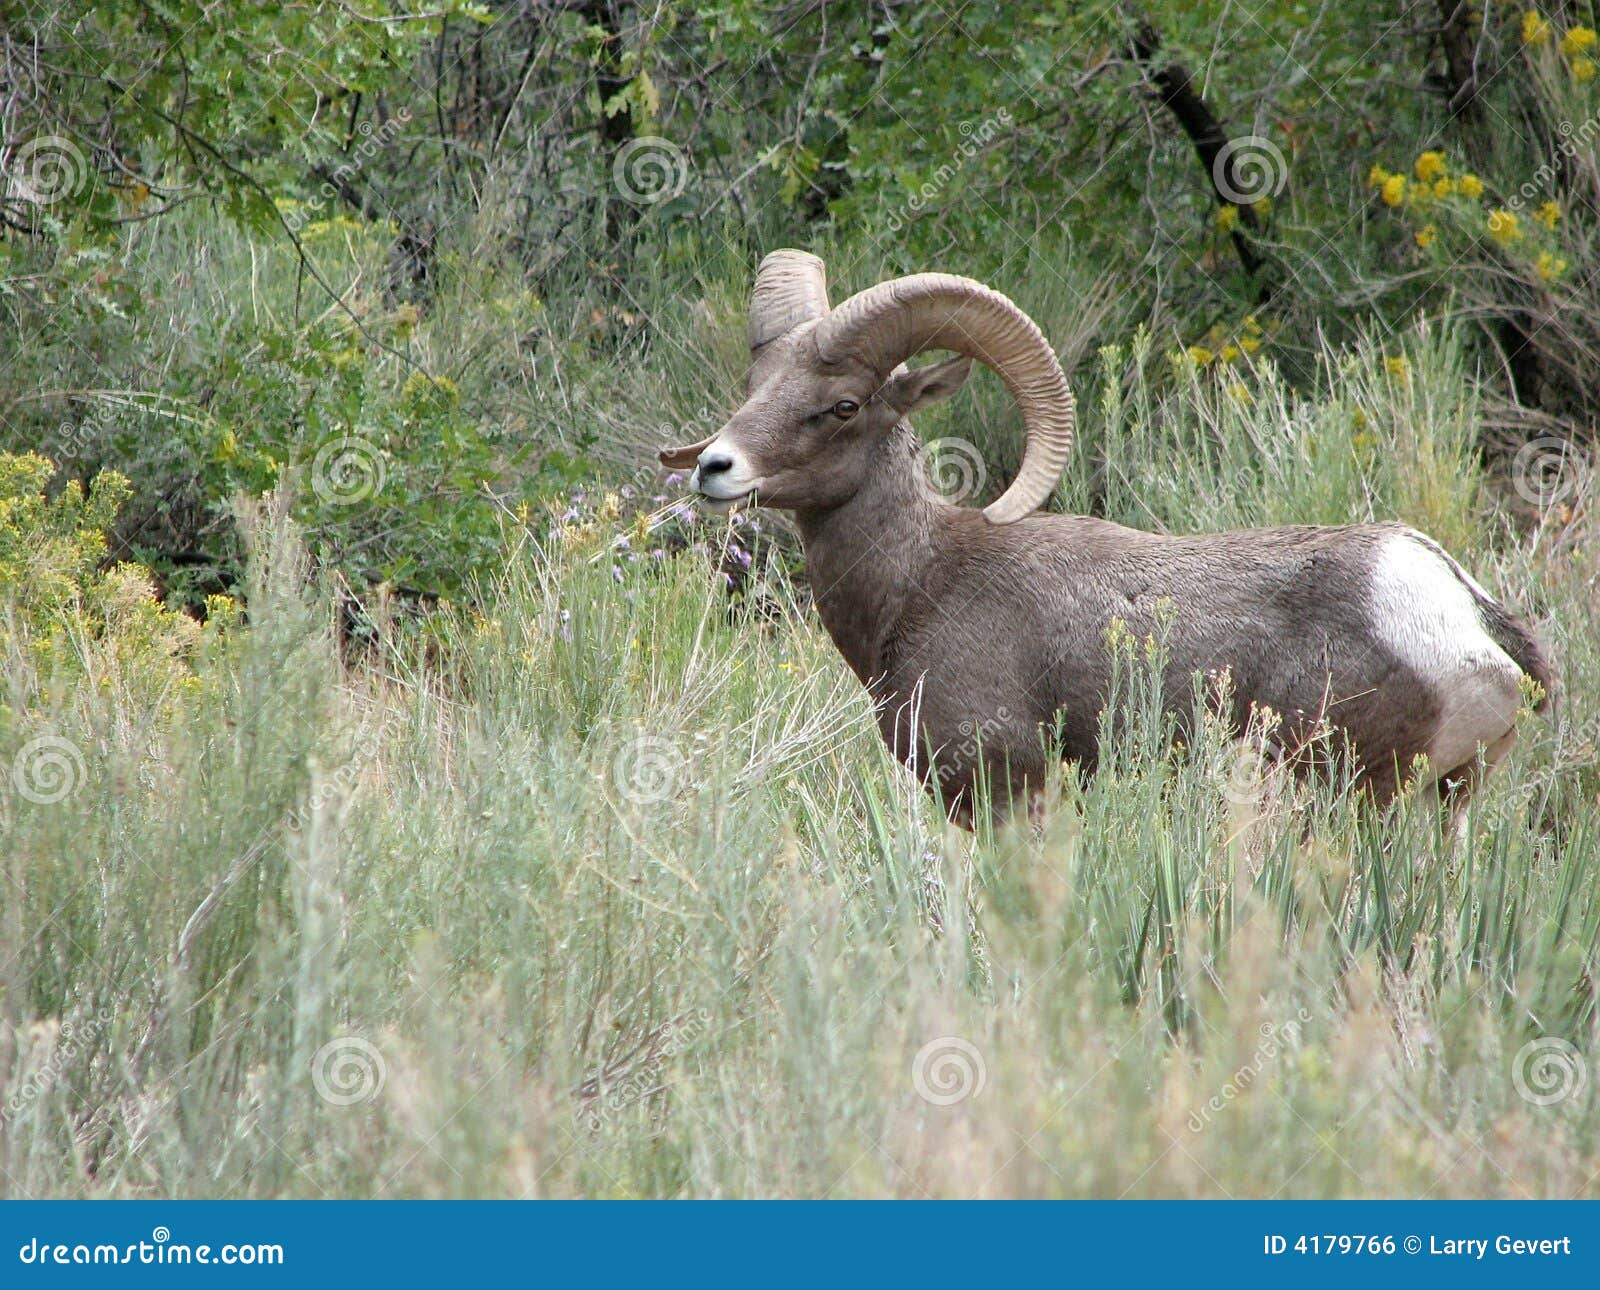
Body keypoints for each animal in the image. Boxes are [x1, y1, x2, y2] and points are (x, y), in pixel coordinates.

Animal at [660, 250, 1553, 826]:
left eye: (842, 405)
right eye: (756, 386)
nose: (714, 467)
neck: (921, 581)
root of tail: (1468, 627)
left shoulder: (1007, 797)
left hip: (1361, 799)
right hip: (1442, 808)